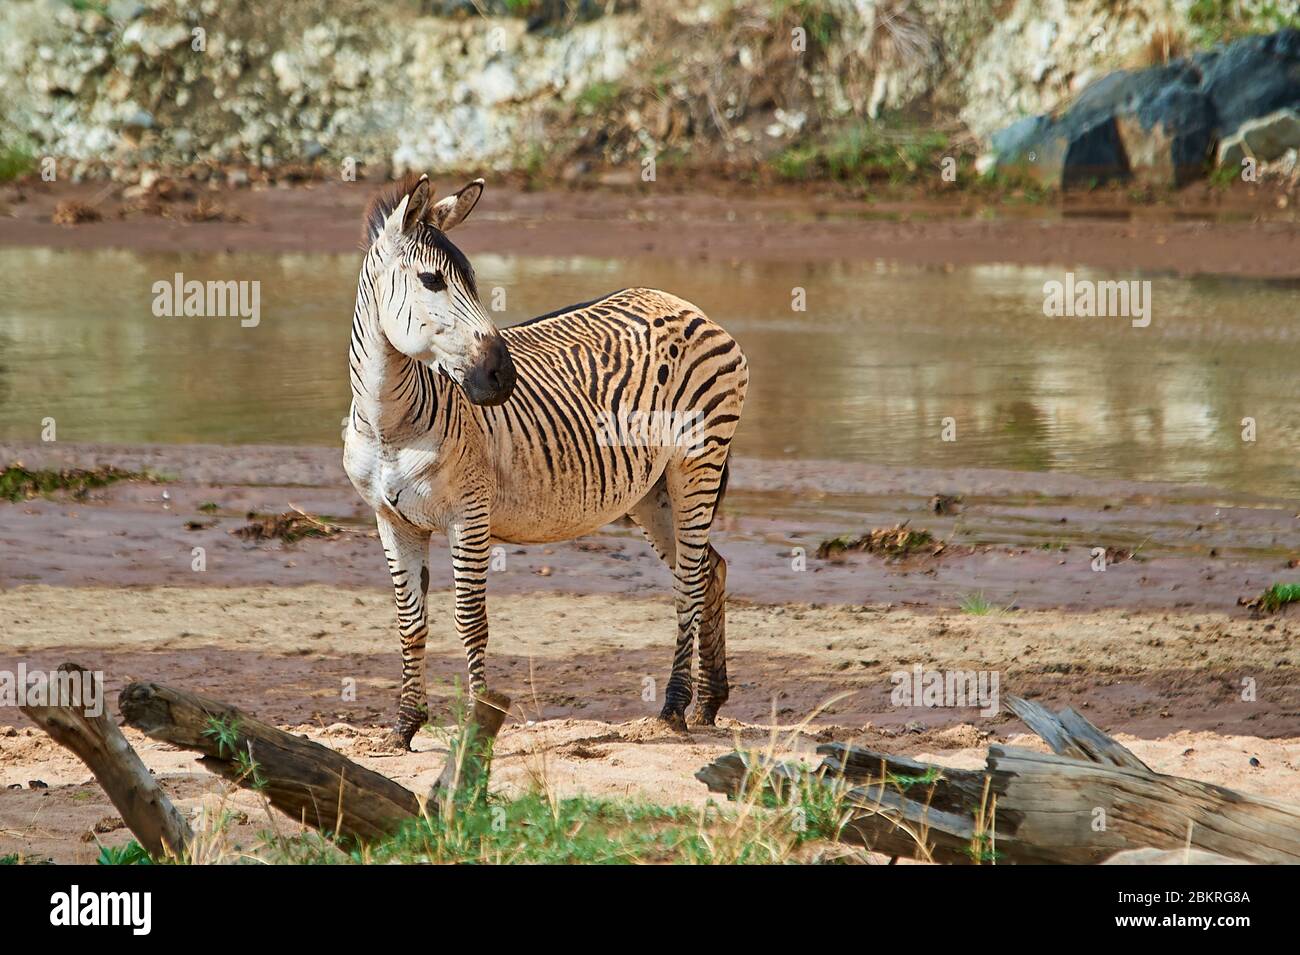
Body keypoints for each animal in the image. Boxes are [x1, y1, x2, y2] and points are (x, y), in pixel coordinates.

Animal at [343, 174, 748, 751]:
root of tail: (686, 303)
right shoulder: (391, 520)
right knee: (710, 569)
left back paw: (673, 706)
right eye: (431, 281)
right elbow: (410, 623)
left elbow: (470, 619)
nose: (501, 378)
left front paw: (475, 728)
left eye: (471, 280)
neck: (389, 425)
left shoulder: (470, 515)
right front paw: (402, 729)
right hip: (652, 491)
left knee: (690, 582)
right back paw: (709, 704)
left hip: (698, 462)